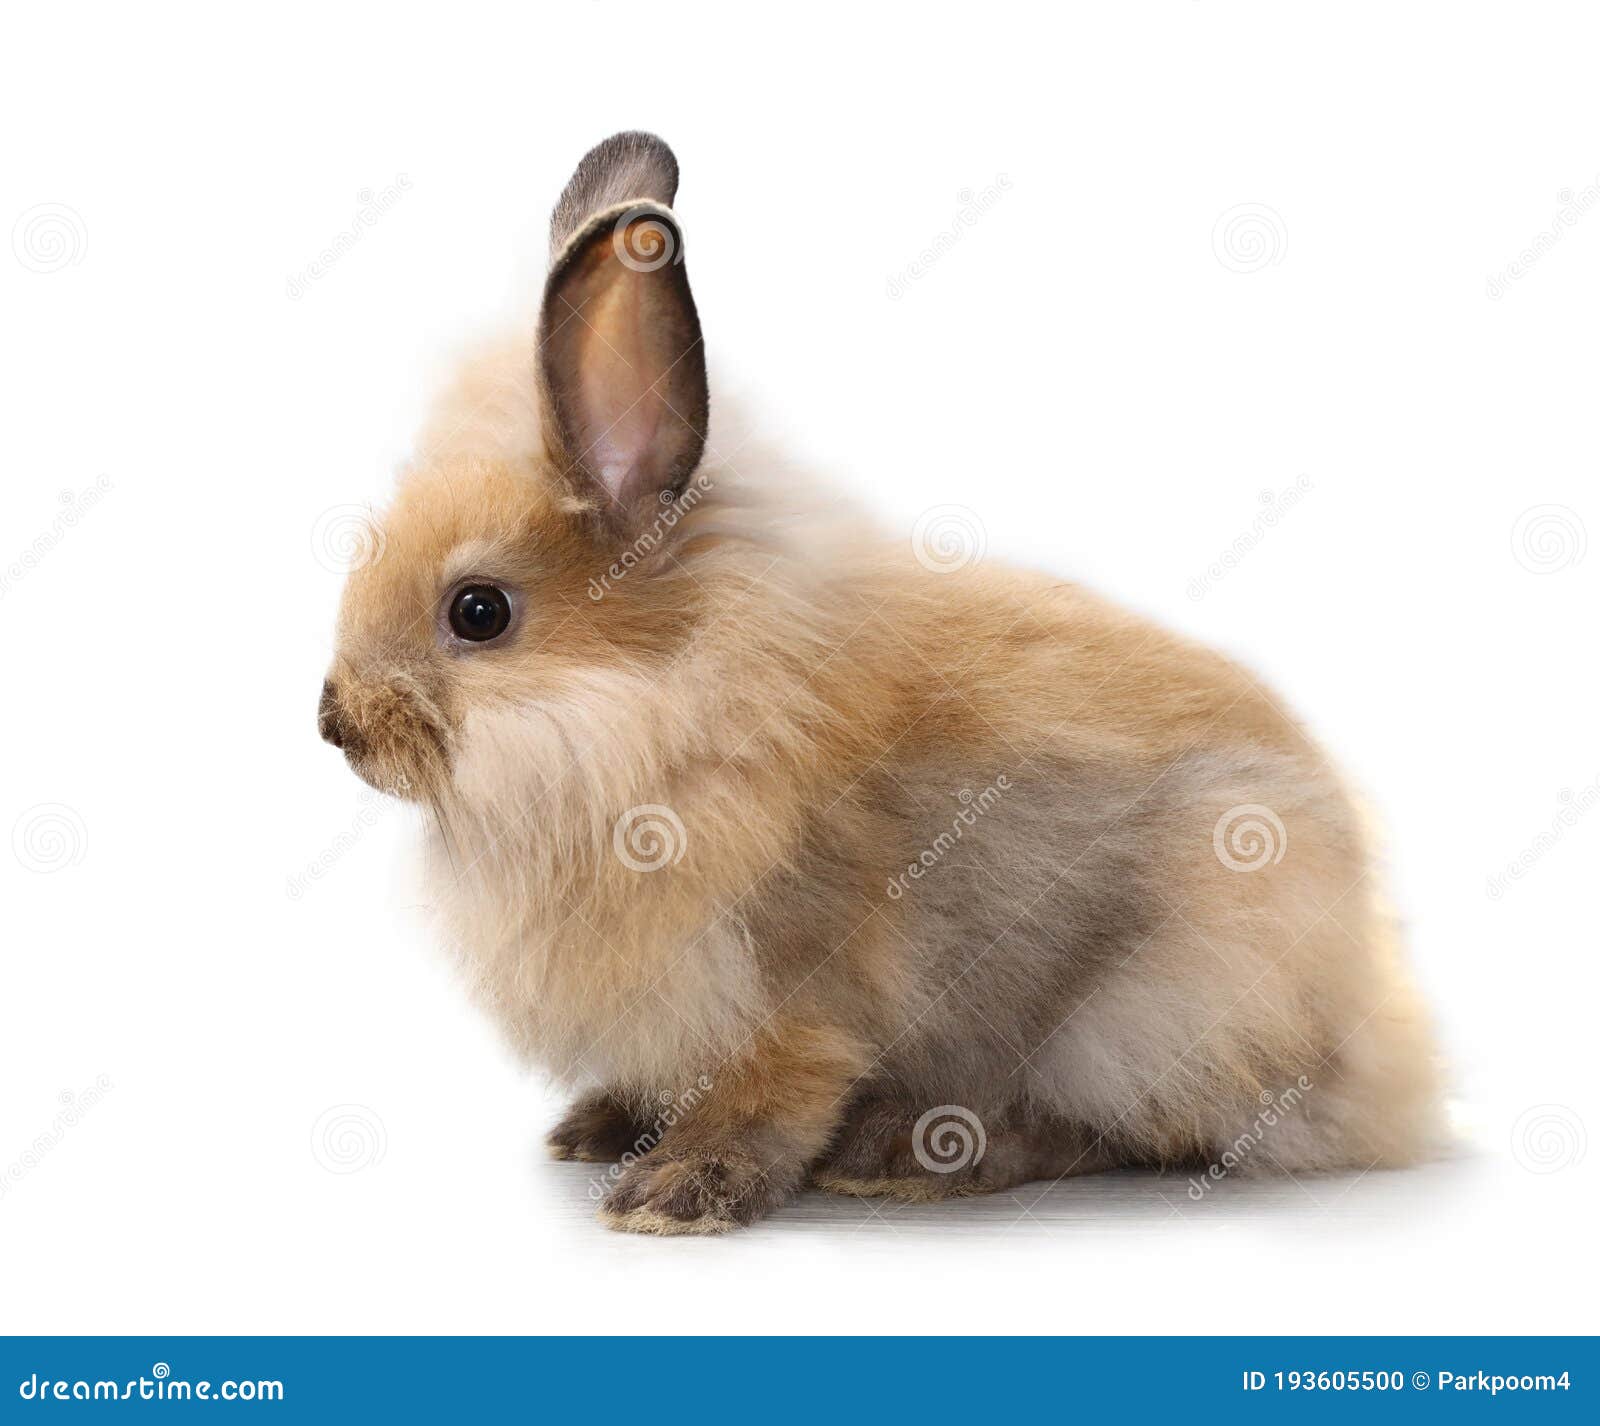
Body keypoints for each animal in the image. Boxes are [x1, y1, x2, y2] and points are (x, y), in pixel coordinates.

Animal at [319, 131, 1441, 1234]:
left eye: (479, 612)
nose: (336, 724)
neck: (668, 711)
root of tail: (1371, 1038)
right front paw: (603, 1127)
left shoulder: (793, 991)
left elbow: (779, 1093)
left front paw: (675, 1193)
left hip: (1160, 1007)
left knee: (1116, 1131)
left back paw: (912, 1157)